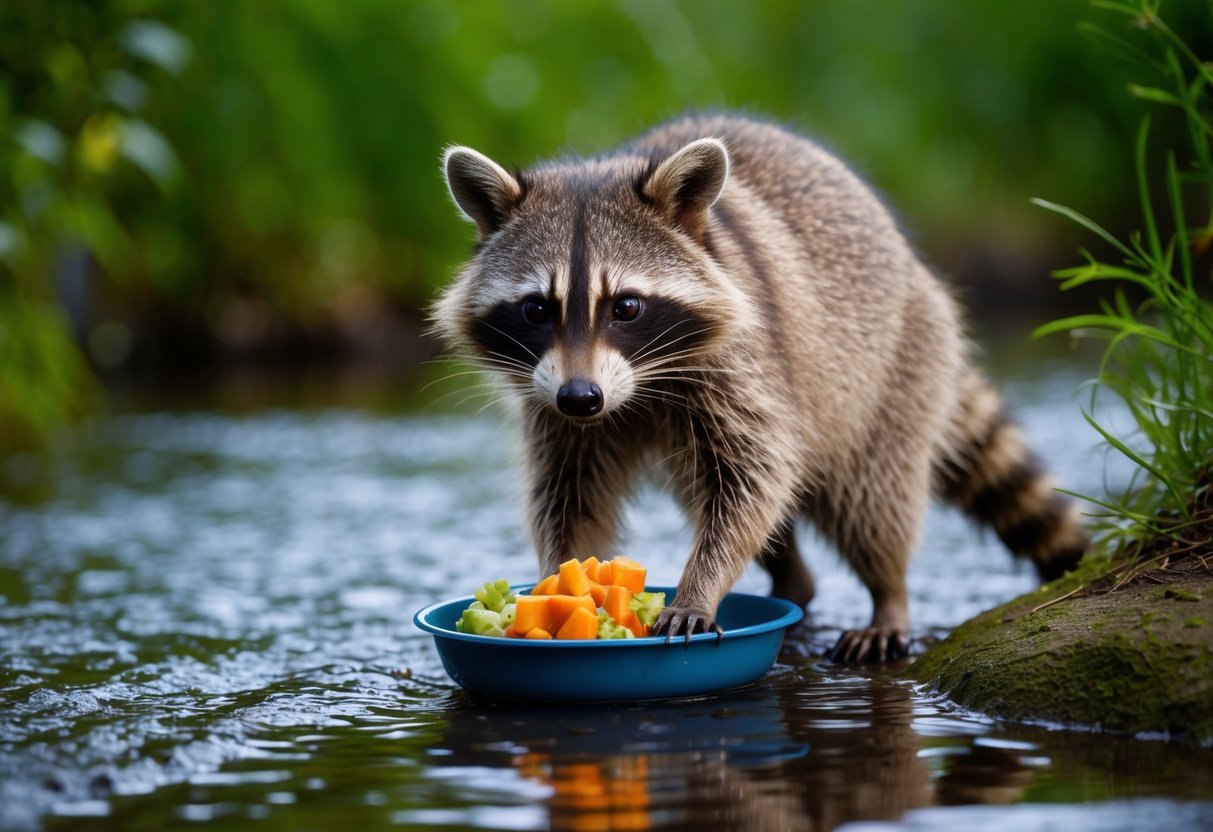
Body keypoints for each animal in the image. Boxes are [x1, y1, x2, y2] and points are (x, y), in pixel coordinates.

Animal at [431, 114, 1088, 662]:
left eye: (626, 307)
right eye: (536, 309)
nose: (581, 398)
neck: (636, 388)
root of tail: (915, 268)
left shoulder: (744, 364)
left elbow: (751, 482)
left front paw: (699, 587)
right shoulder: (552, 400)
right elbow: (570, 491)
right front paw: (560, 580)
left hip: (897, 366)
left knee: (870, 495)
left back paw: (889, 594)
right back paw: (795, 580)